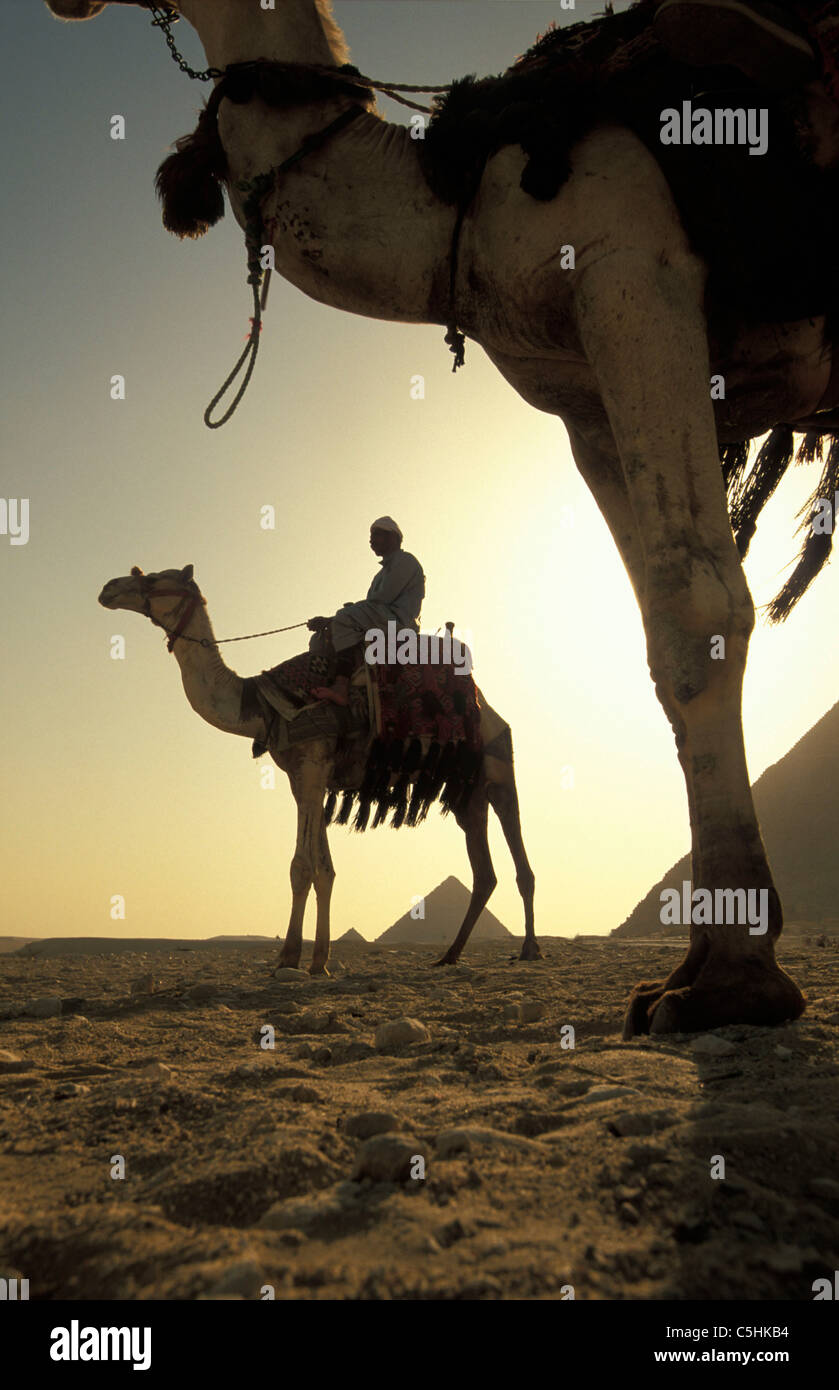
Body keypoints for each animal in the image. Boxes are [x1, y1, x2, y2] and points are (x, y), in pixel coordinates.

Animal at [97, 565, 537, 974]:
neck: (260, 704)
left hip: (497, 766)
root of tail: (482, 703)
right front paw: (316, 959)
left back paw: (529, 948)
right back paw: (449, 955)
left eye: (155, 579)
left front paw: (292, 958)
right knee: (484, 872)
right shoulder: (305, 779)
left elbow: (301, 867)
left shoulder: (311, 767)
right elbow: (324, 868)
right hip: (465, 791)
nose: (108, 588)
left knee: (518, 853)